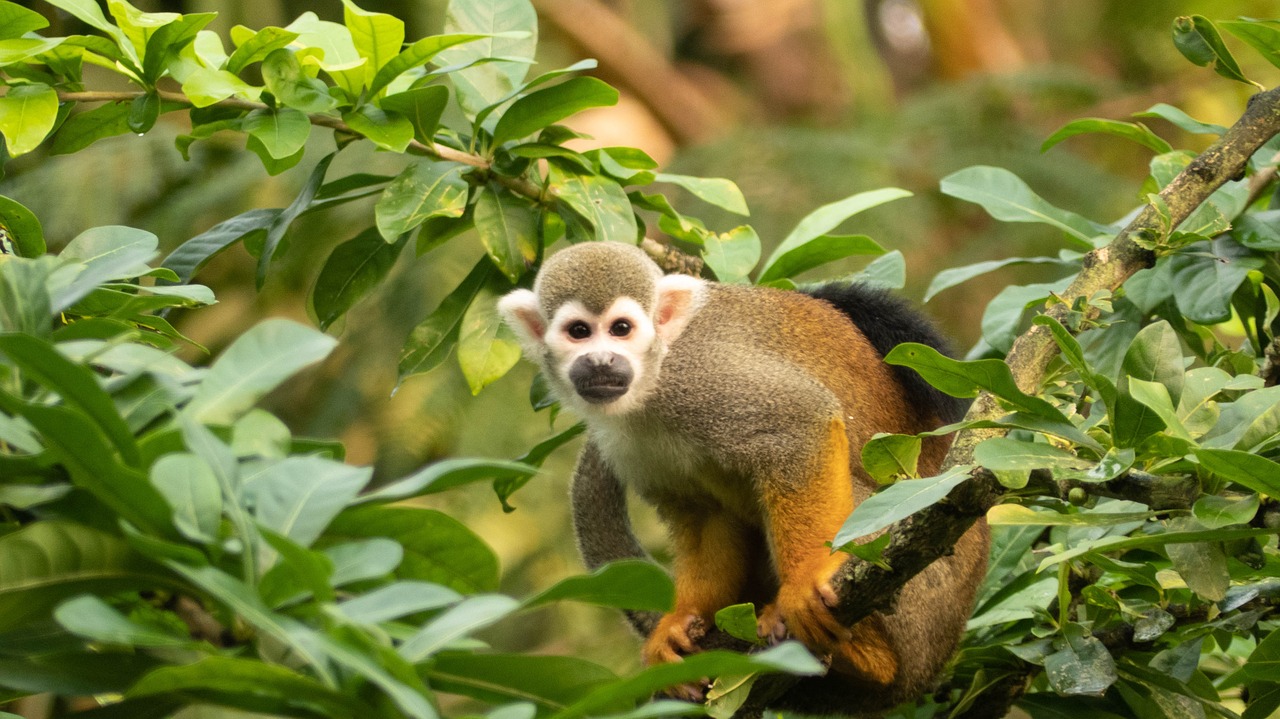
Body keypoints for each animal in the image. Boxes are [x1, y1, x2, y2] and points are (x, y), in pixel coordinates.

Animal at [498, 241, 989, 714]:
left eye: (621, 329)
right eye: (579, 332)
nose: (601, 362)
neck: (652, 380)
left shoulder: (706, 377)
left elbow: (802, 424)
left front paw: (807, 578)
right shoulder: (625, 441)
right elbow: (705, 515)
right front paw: (678, 623)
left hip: (923, 599)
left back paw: (869, 656)